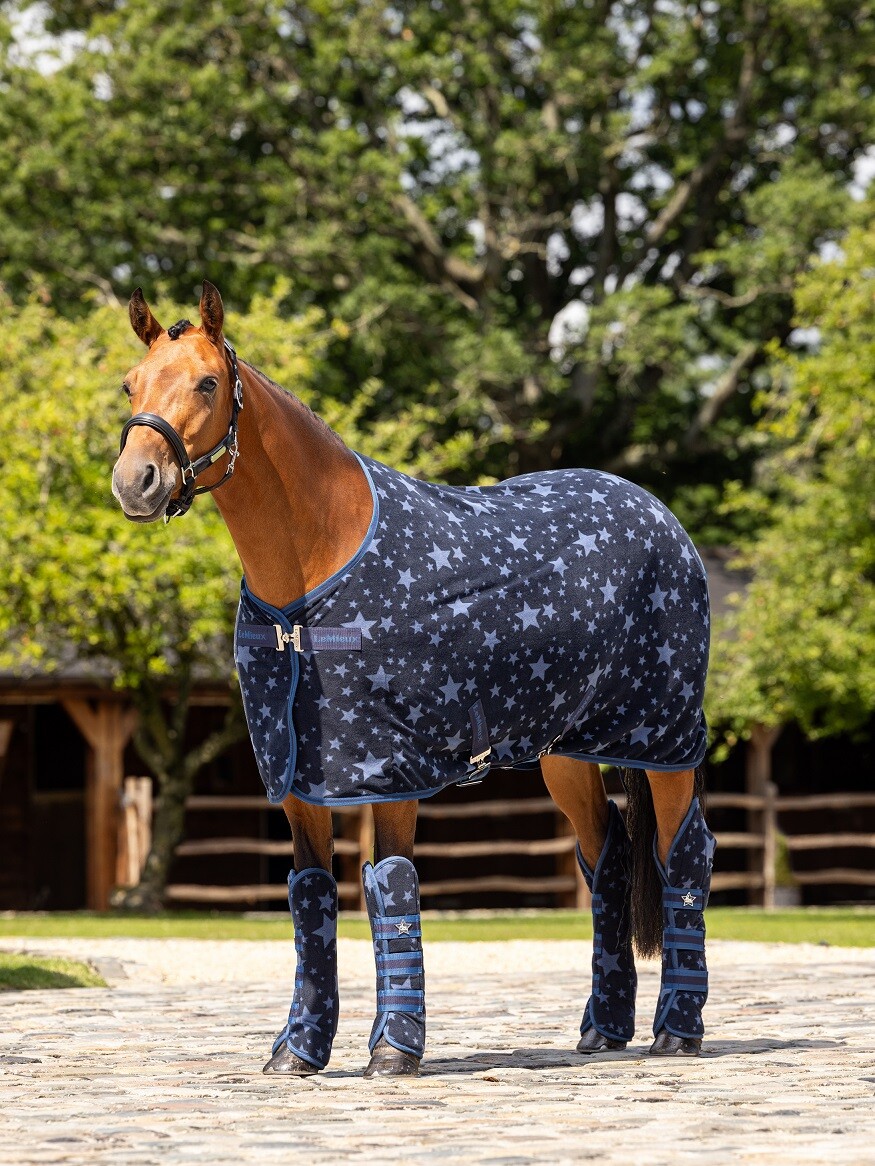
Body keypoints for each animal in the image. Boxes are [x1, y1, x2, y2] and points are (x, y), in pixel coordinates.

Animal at [112, 281, 715, 1077]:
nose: (136, 483)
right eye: (131, 384)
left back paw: (678, 1029)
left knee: (683, 854)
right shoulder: (303, 774)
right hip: (567, 751)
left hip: (663, 737)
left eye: (207, 383)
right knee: (607, 859)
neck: (316, 572)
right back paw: (601, 1031)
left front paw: (393, 1049)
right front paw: (298, 1050)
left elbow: (390, 886)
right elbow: (310, 898)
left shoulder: (388, 770)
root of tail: (657, 514)